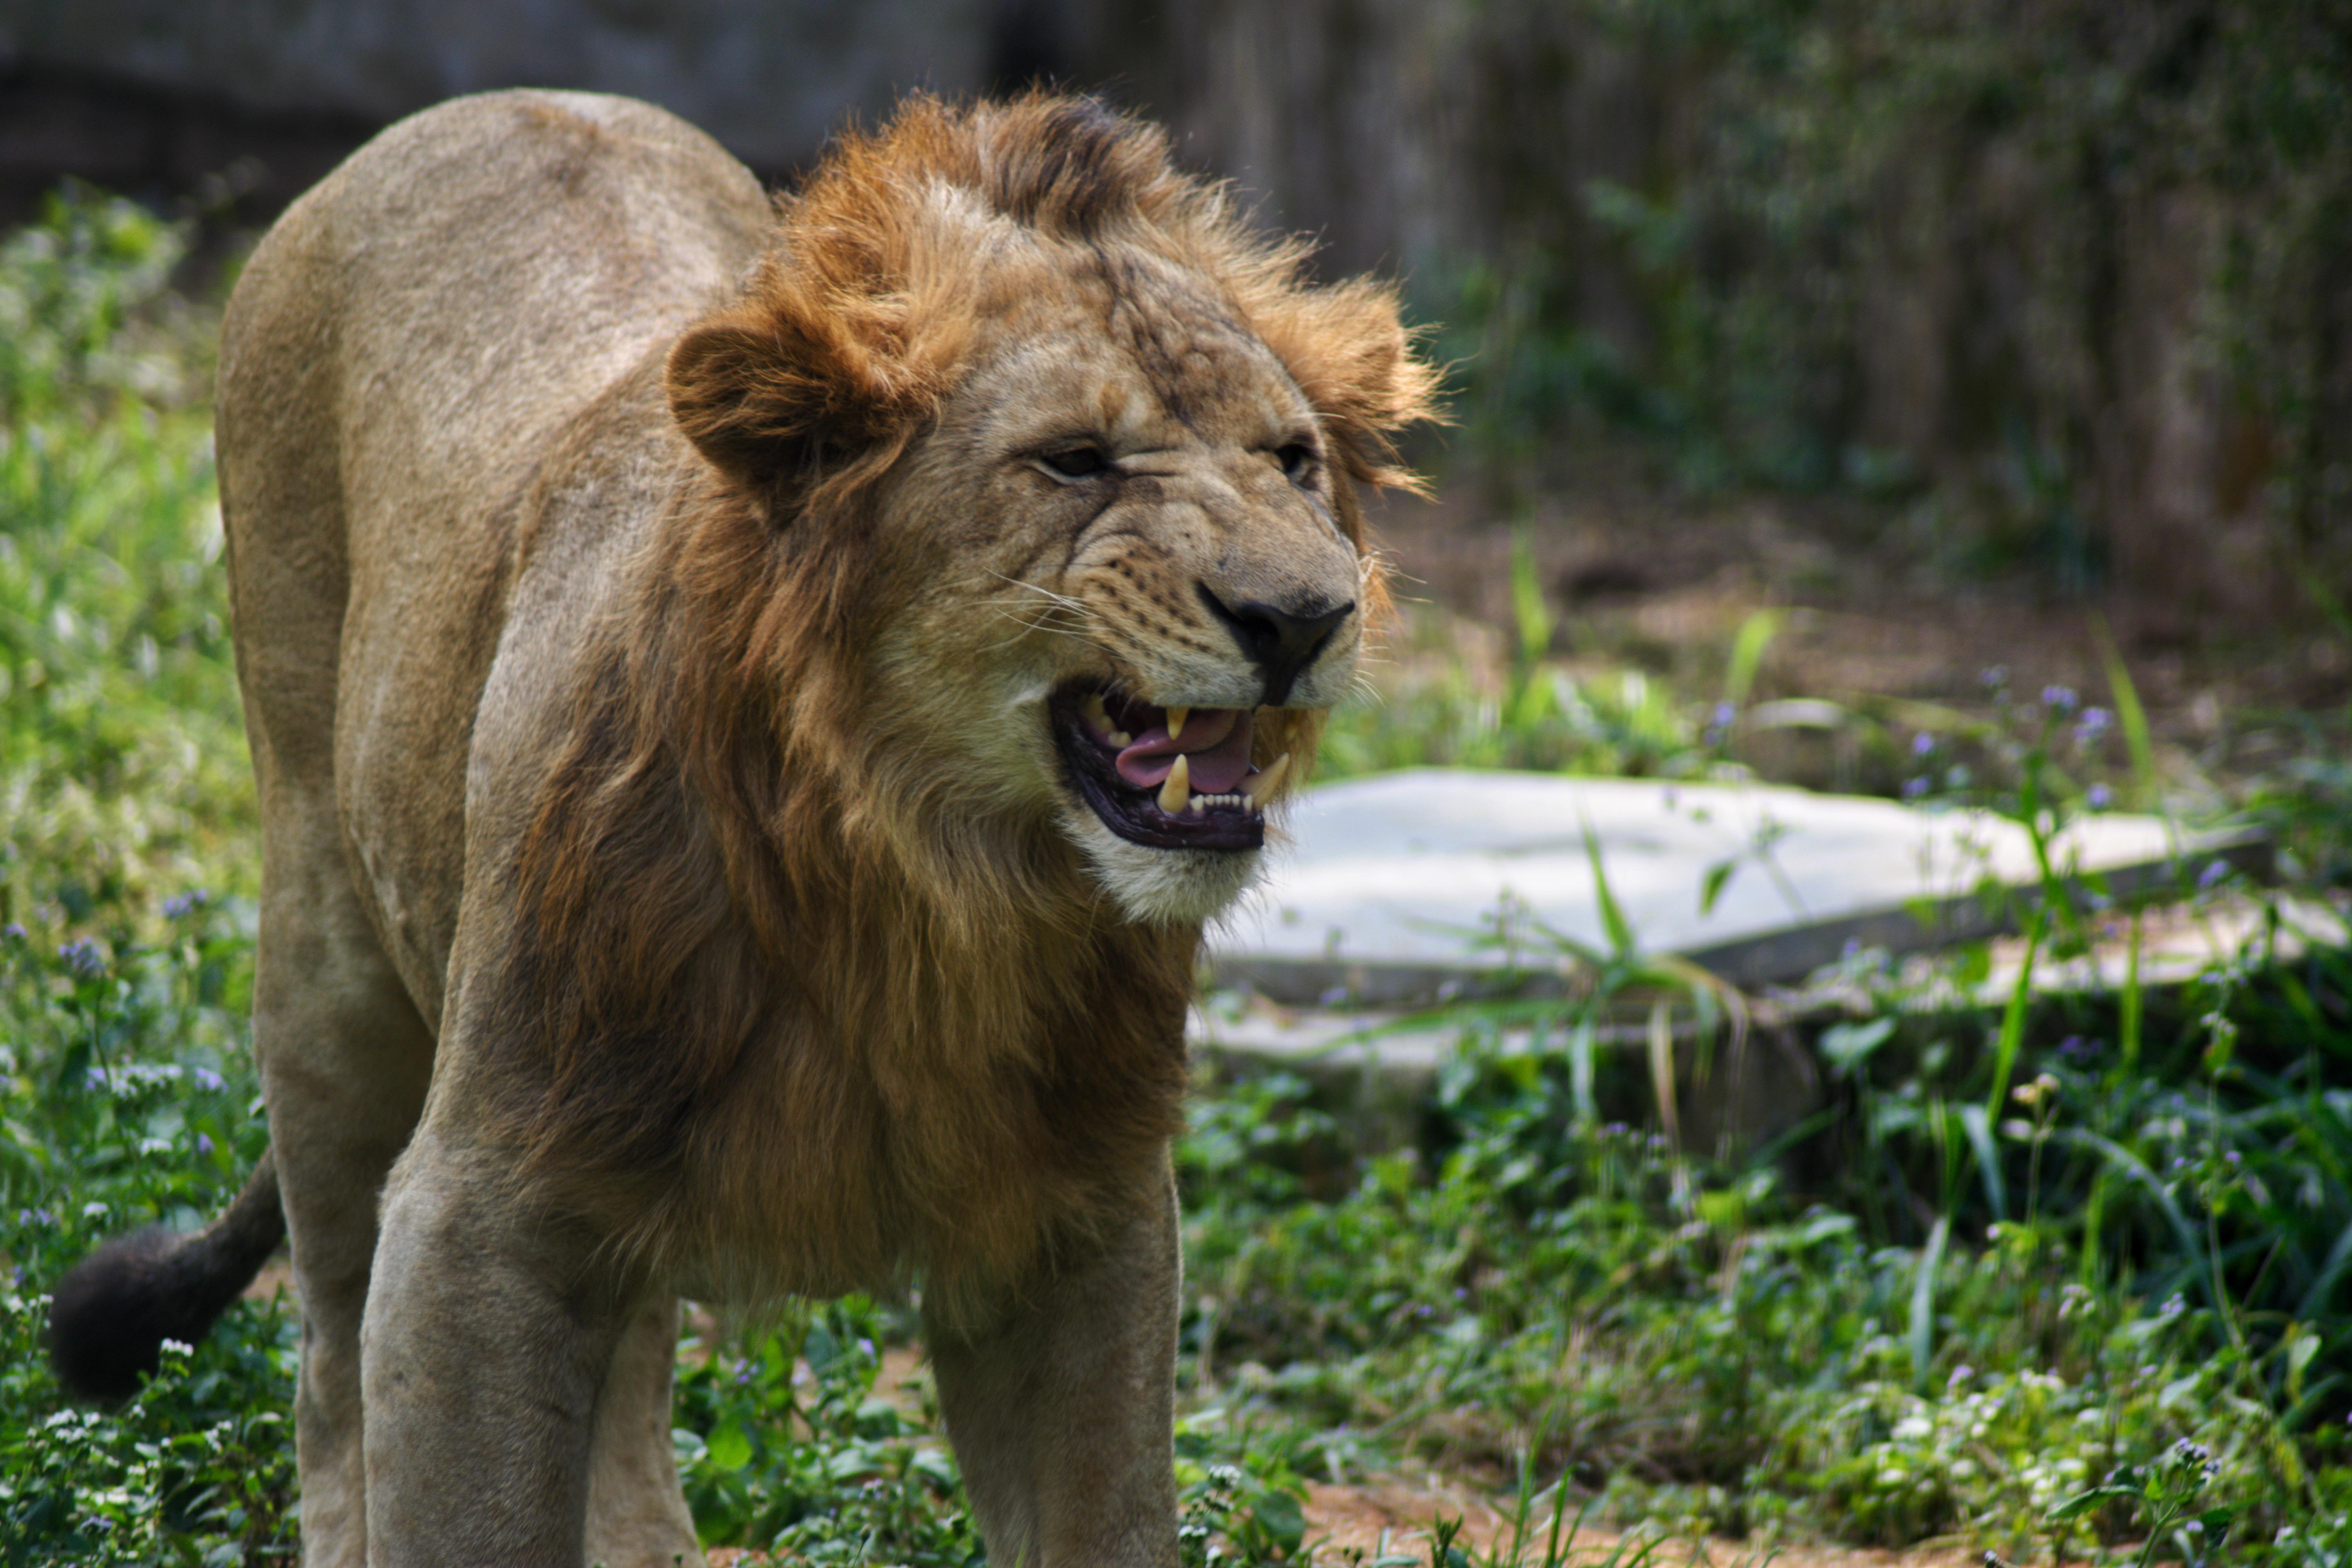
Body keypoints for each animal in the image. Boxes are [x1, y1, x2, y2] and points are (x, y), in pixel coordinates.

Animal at [48, 88, 1436, 1565]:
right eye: (1075, 462)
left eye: (1292, 461)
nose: (1305, 618)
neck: (918, 883)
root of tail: (482, 104)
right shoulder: (479, 1201)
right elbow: (461, 1493)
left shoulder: (1082, 1216)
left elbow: (1106, 1518)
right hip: (324, 964)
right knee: (328, 1360)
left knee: (625, 1388)